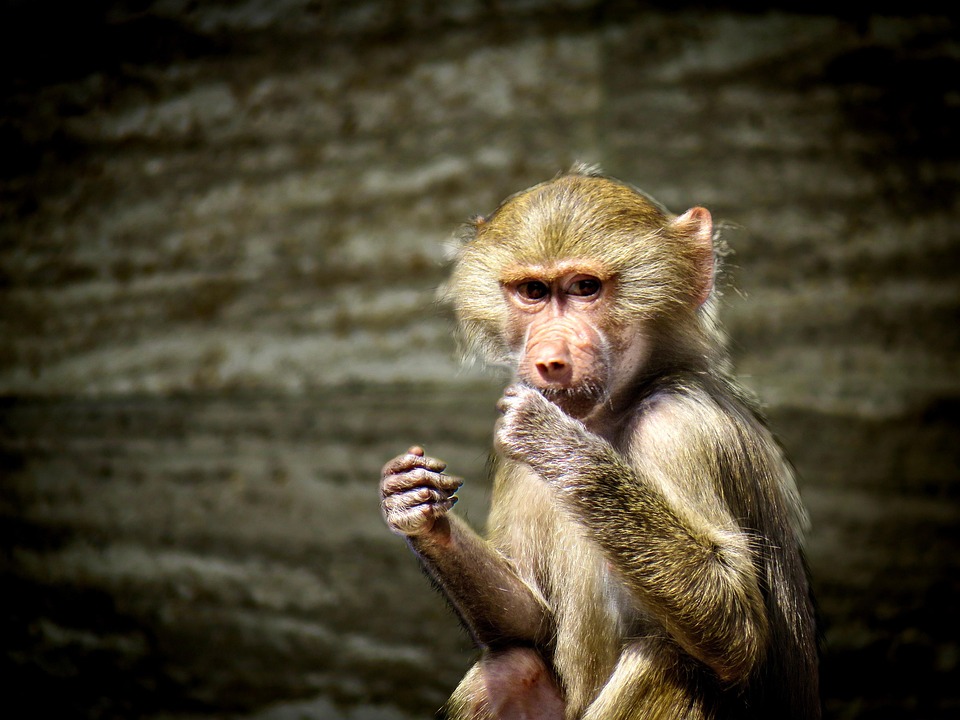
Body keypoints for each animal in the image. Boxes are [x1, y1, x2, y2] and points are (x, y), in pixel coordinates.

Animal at [379, 164, 820, 719]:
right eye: (533, 291)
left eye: (585, 287)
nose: (548, 361)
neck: (617, 407)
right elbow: (530, 623)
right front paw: (414, 505)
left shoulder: (684, 425)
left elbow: (736, 627)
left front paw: (558, 445)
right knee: (508, 667)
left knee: (669, 659)